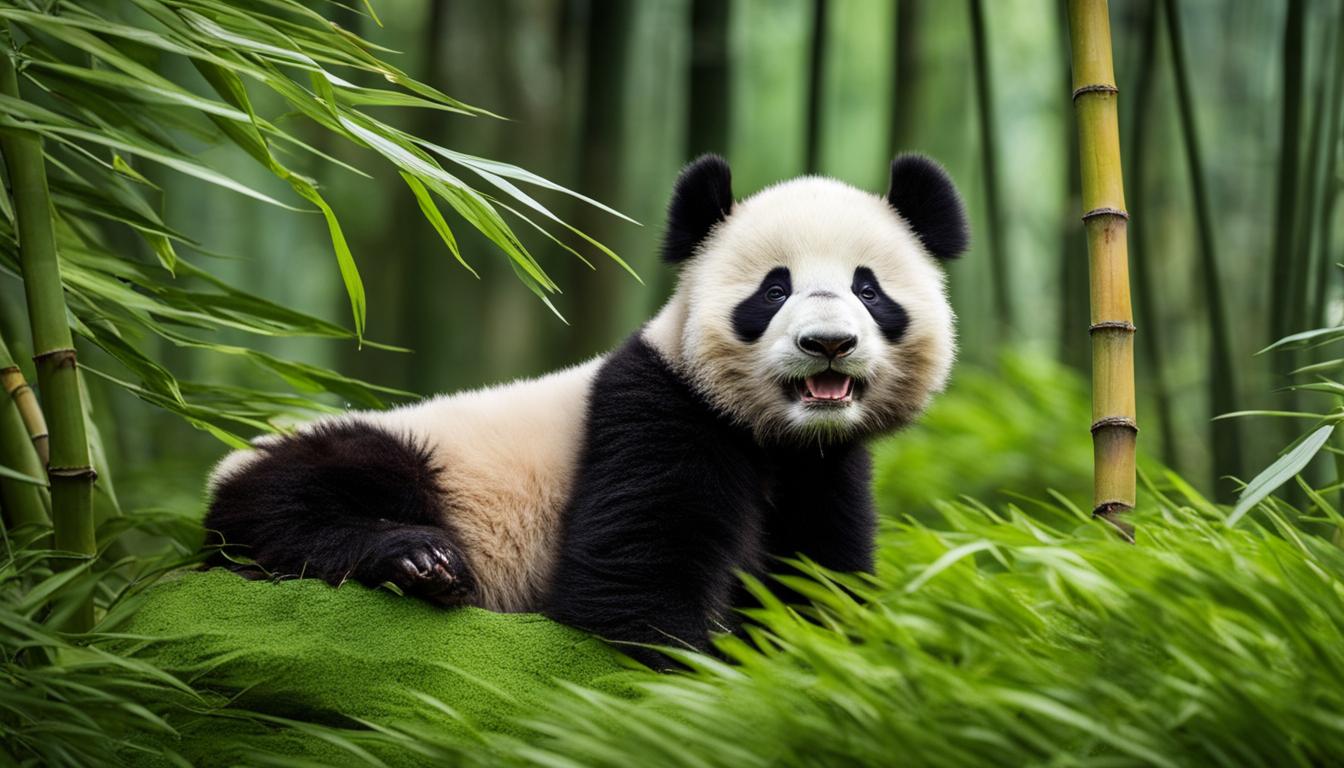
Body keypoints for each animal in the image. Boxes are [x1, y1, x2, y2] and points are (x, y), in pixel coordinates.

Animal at [203, 153, 968, 666]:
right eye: (773, 291)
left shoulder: (826, 463)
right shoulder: (655, 412)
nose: (828, 344)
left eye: (868, 290)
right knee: (297, 504)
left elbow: (818, 575)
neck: (770, 434)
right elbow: (629, 583)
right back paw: (415, 557)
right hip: (376, 450)